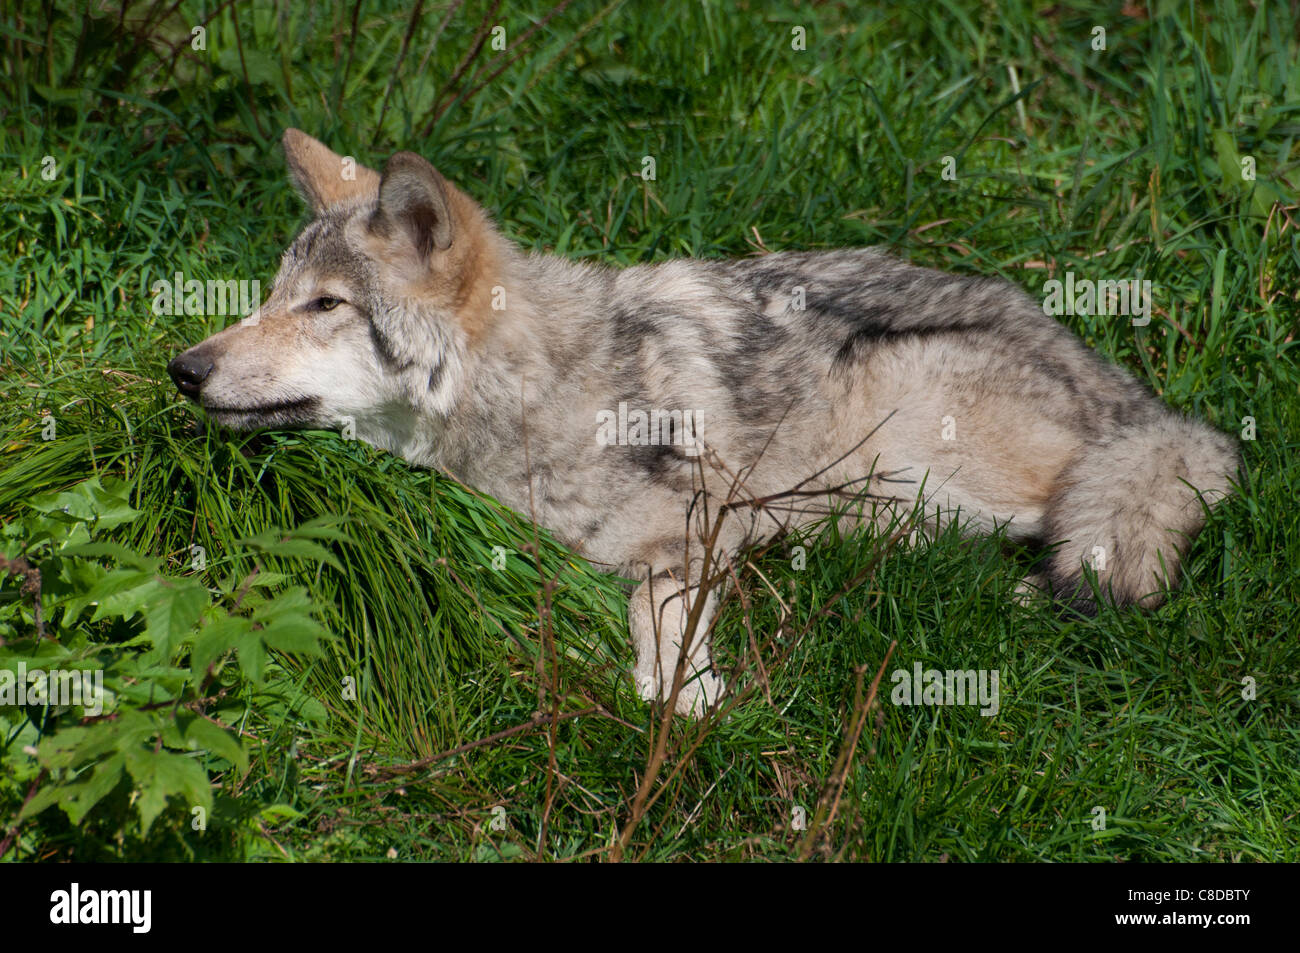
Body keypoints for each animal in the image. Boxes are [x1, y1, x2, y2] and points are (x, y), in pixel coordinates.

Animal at [167, 129, 1239, 716]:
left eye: (325, 307)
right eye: (270, 298)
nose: (184, 369)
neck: (541, 393)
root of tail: (1140, 395)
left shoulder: (695, 519)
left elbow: (660, 626)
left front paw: (683, 699)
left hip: (907, 436)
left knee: (1084, 511)